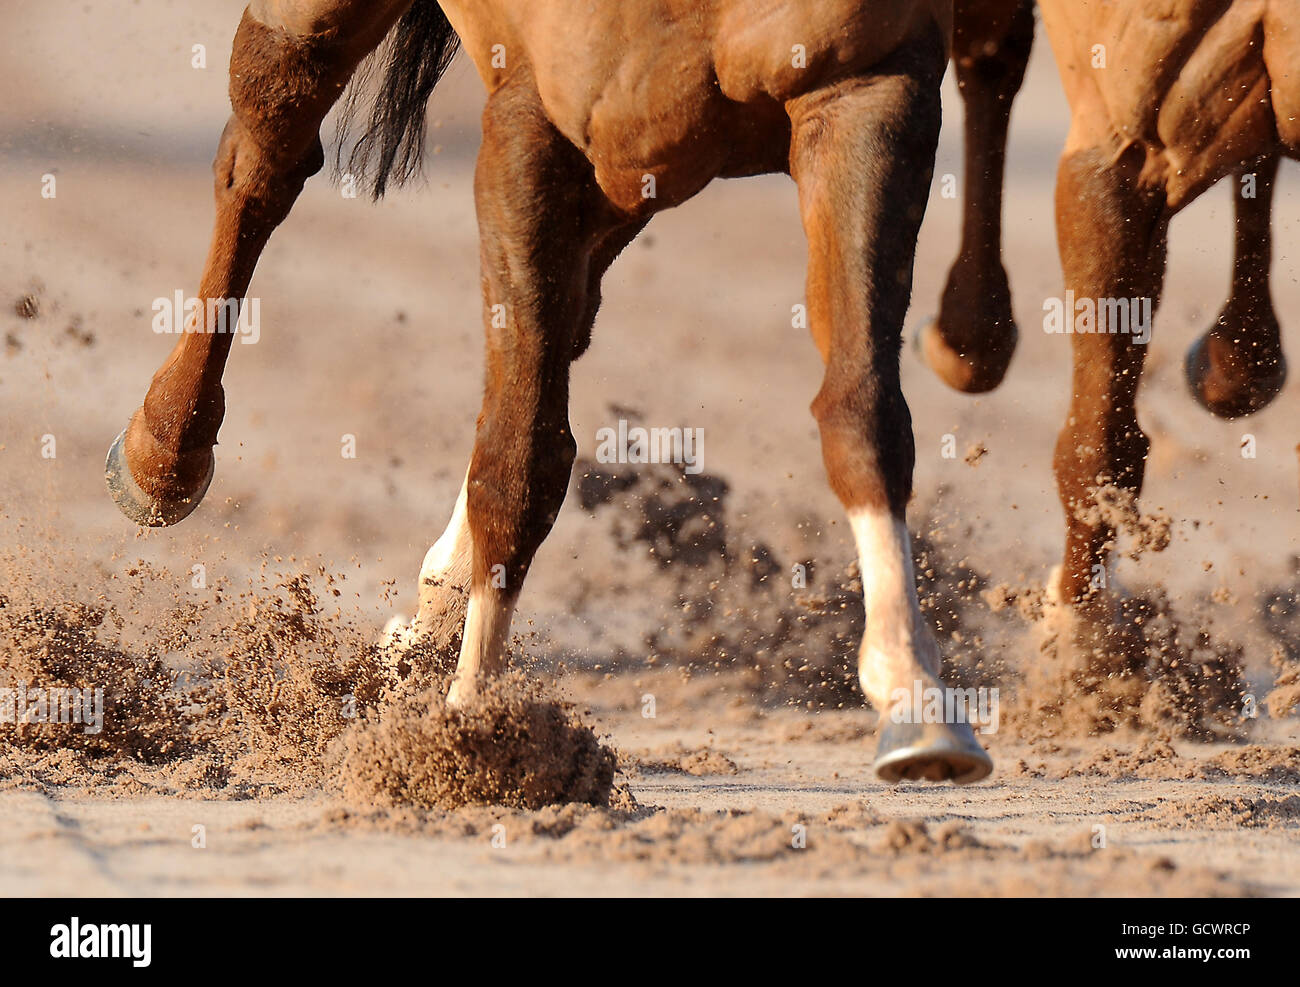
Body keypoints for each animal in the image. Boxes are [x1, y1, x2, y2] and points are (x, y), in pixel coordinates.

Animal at [104, 0, 994, 784]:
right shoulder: (530, 128)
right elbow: (523, 455)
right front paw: (472, 728)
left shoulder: (862, 86)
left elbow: (862, 406)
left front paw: (917, 698)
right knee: (266, 157)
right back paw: (164, 455)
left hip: (644, 169)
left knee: (567, 323)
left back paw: (414, 633)